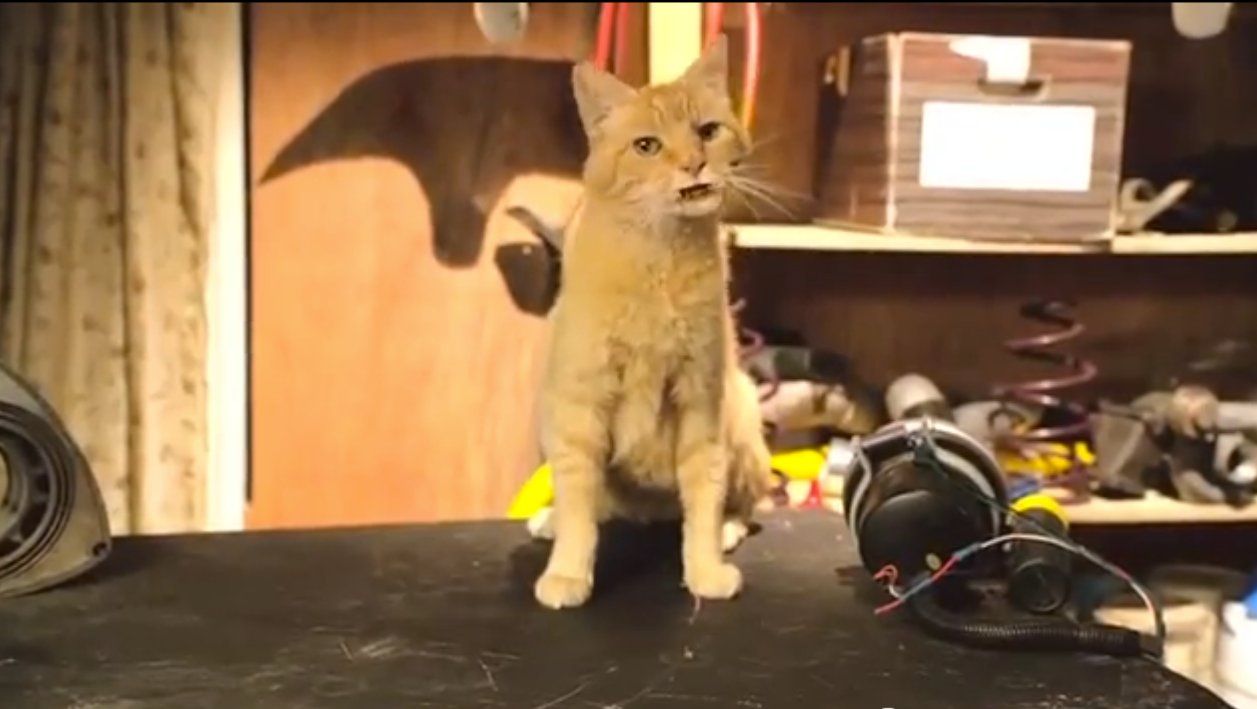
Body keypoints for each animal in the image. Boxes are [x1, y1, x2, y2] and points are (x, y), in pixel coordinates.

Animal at [534, 37, 773, 610]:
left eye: (708, 131)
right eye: (647, 146)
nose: (694, 163)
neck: (659, 259)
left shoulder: (700, 401)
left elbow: (705, 495)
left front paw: (704, 569)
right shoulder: (579, 406)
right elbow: (578, 505)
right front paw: (568, 571)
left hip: (743, 414)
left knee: (742, 504)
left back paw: (729, 529)